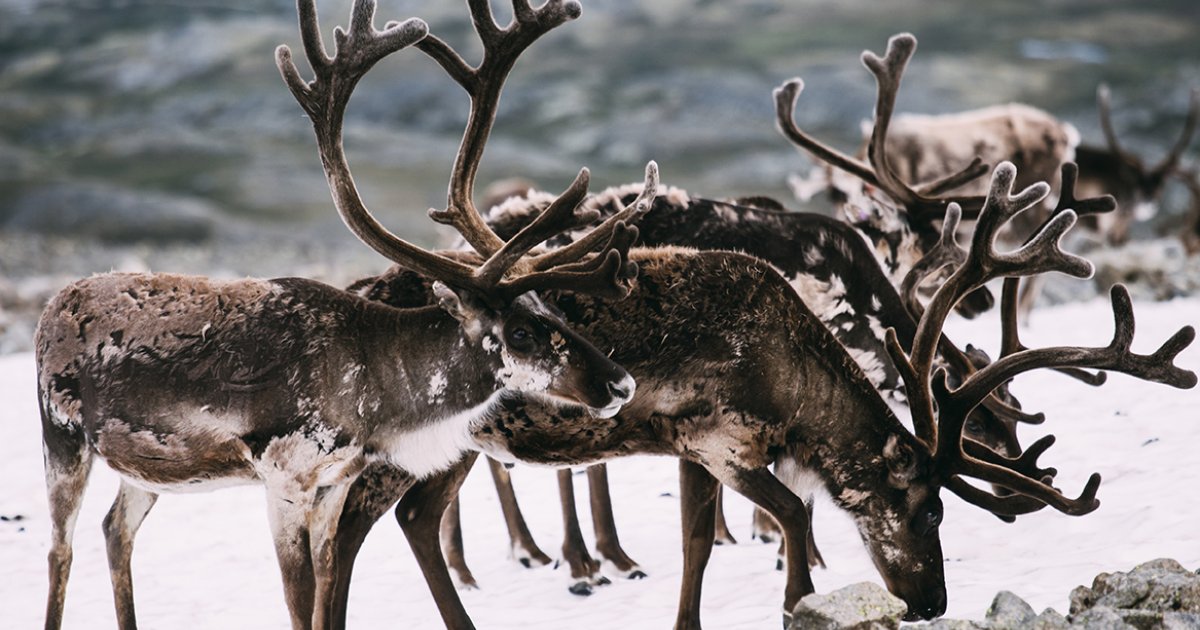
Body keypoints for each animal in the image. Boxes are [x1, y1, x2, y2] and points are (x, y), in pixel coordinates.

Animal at [34, 1, 655, 628]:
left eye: (550, 305)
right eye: (521, 332)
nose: (620, 383)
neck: (374, 387)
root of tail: (56, 302)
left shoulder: (336, 484)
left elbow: (329, 588)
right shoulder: (284, 479)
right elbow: (299, 598)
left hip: (147, 467)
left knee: (116, 530)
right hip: (62, 439)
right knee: (60, 549)